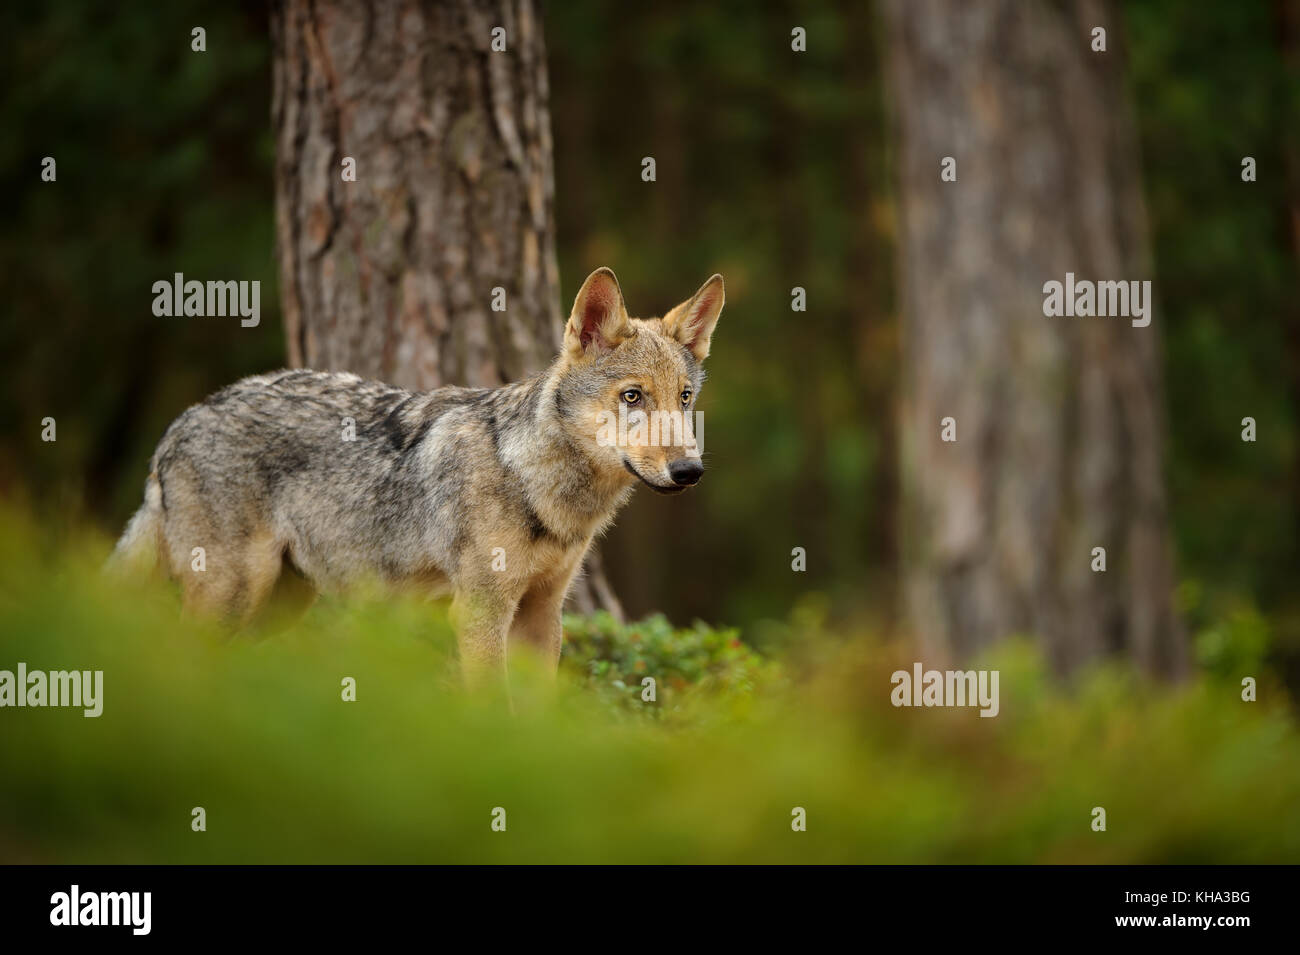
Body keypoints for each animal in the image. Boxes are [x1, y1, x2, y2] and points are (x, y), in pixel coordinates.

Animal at [110, 268, 724, 687]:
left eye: (684, 398)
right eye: (633, 397)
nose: (690, 470)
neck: (534, 481)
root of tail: (179, 425)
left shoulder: (542, 615)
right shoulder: (481, 613)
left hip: (276, 606)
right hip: (232, 596)